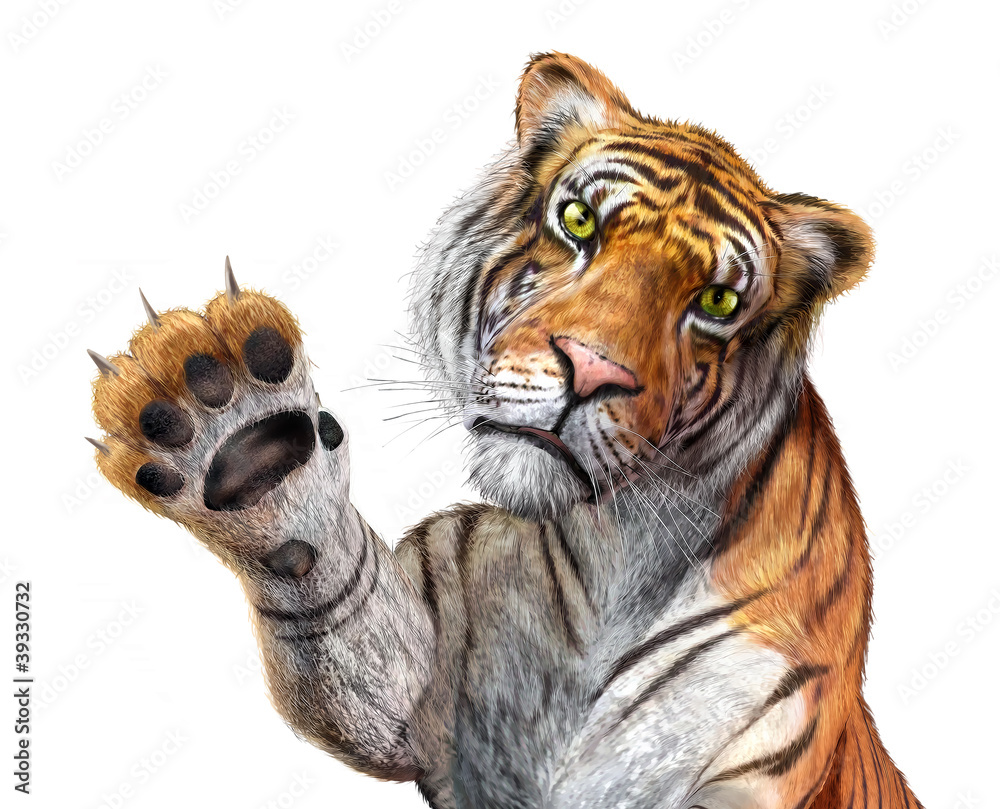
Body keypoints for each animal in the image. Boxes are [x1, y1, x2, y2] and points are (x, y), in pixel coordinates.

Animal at [87, 52, 922, 808]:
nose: (590, 369)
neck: (611, 559)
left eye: (716, 301)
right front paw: (235, 427)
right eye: (579, 221)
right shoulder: (419, 687)